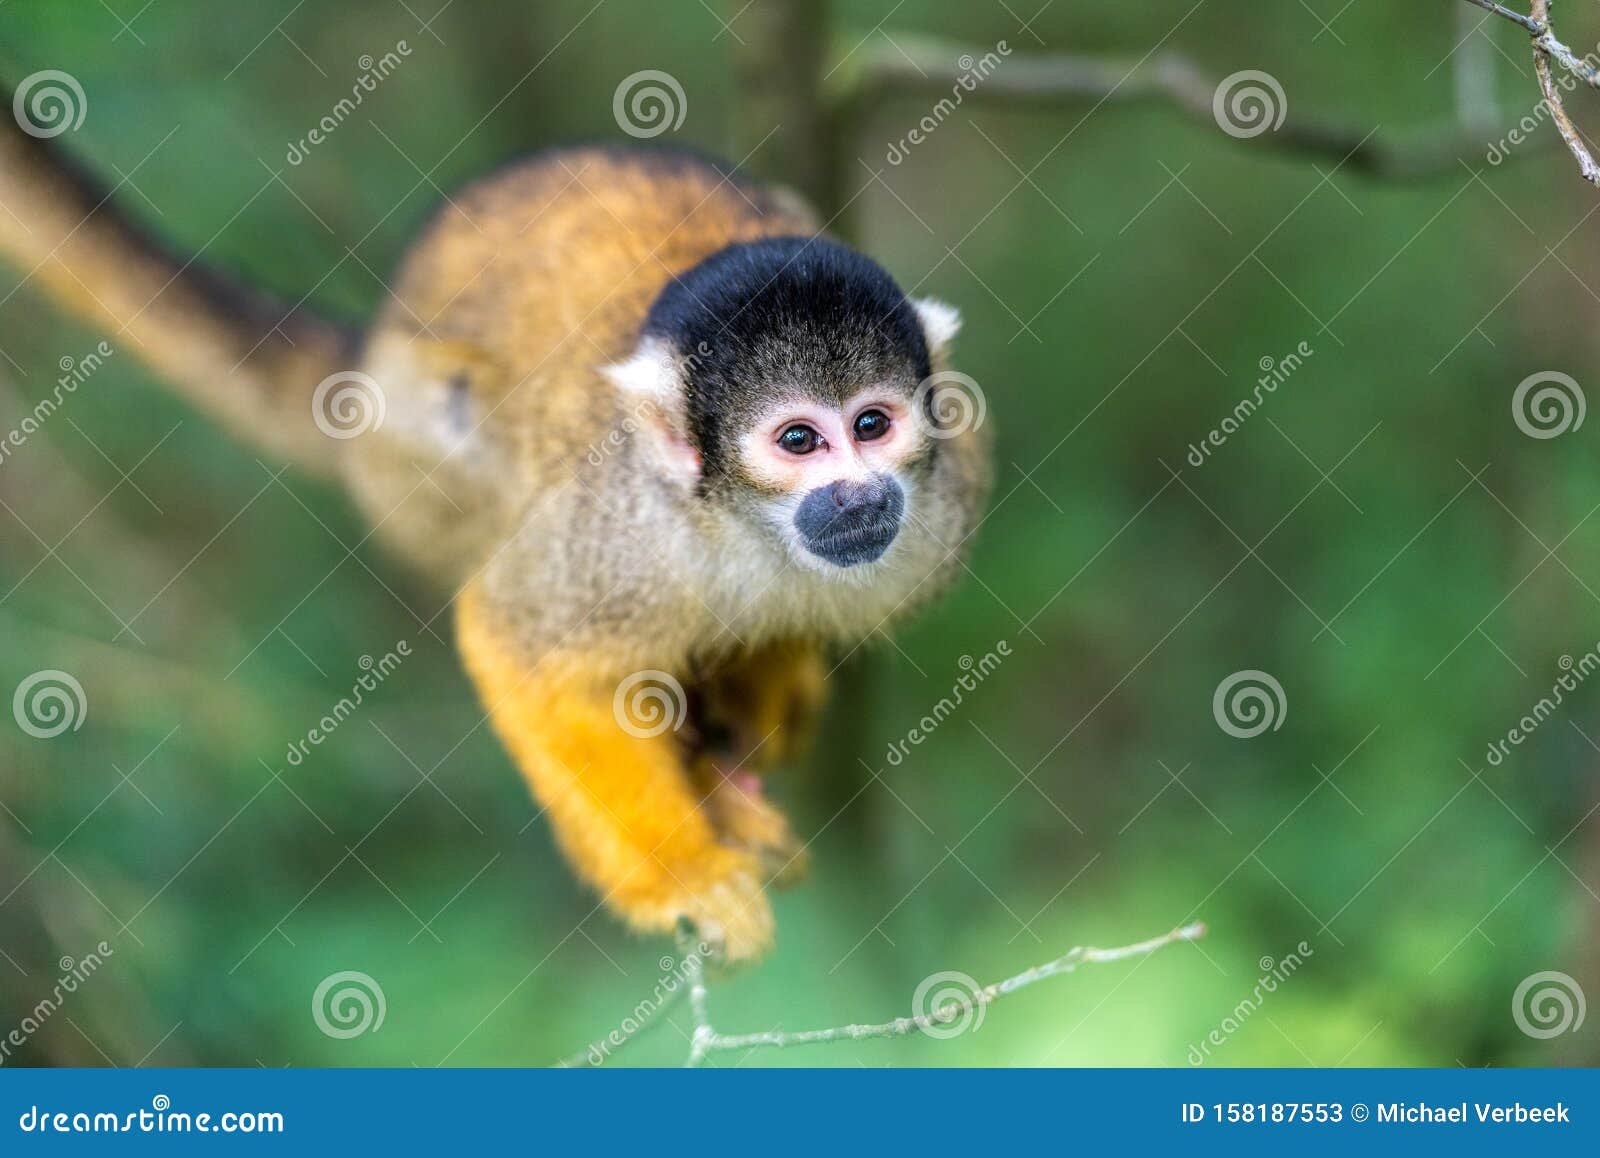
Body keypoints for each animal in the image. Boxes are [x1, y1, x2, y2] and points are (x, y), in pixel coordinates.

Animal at [0, 105, 991, 961]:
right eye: (798, 441)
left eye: (872, 425)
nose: (858, 498)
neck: (746, 525)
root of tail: (369, 356)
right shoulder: (621, 538)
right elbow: (522, 650)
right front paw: (682, 877)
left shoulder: (948, 503)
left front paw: (761, 686)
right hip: (414, 463)